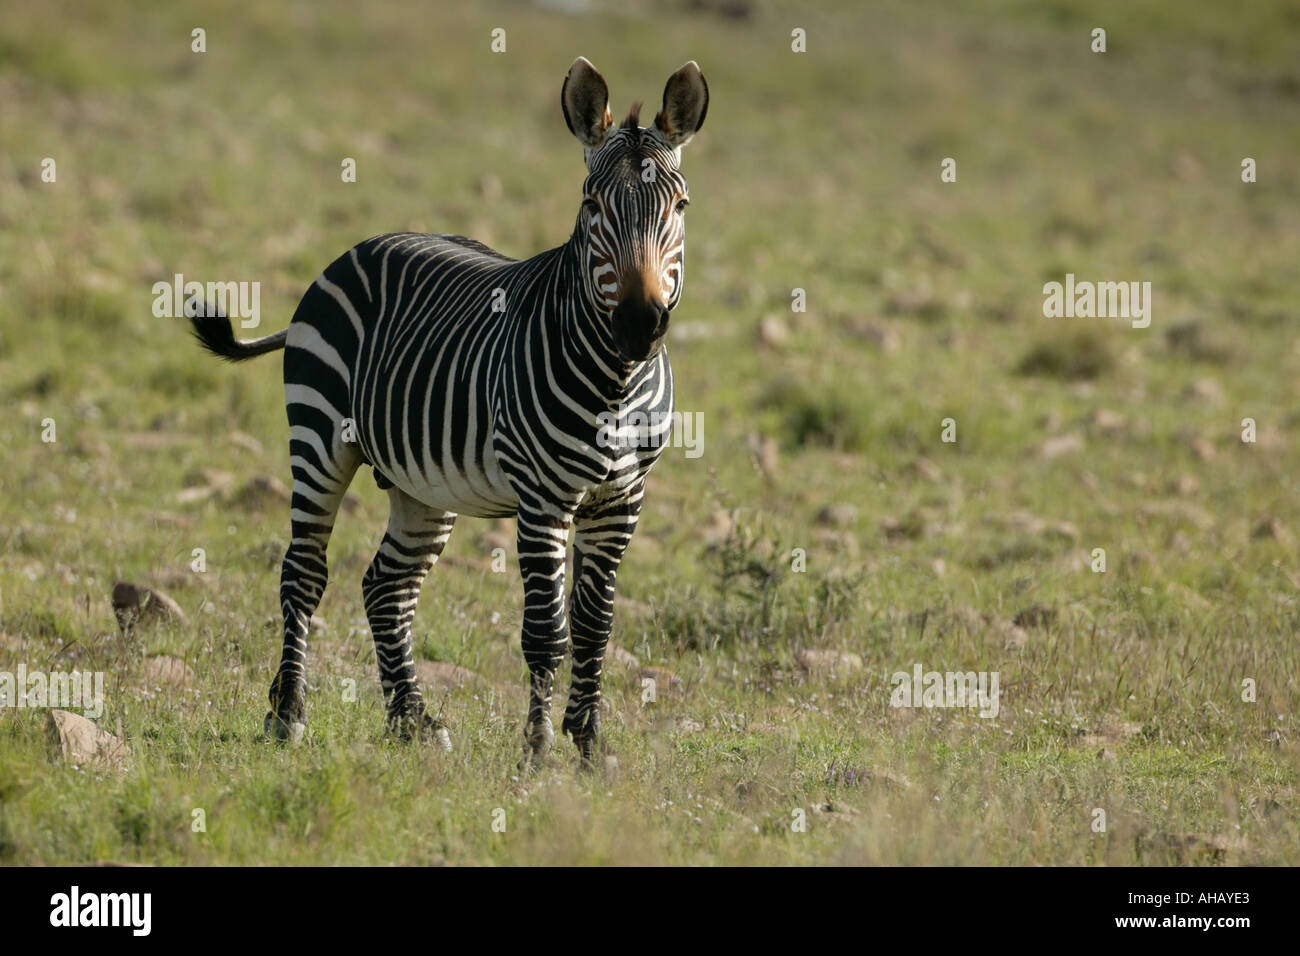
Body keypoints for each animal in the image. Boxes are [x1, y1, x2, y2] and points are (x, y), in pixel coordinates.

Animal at [189, 58, 708, 768]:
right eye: (592, 205)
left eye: (680, 206)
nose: (638, 324)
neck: (617, 381)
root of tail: (362, 245)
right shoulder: (543, 497)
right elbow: (546, 632)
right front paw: (538, 752)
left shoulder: (623, 499)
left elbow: (595, 627)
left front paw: (589, 744)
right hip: (319, 438)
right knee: (304, 573)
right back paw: (288, 713)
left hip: (421, 484)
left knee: (386, 586)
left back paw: (411, 719)